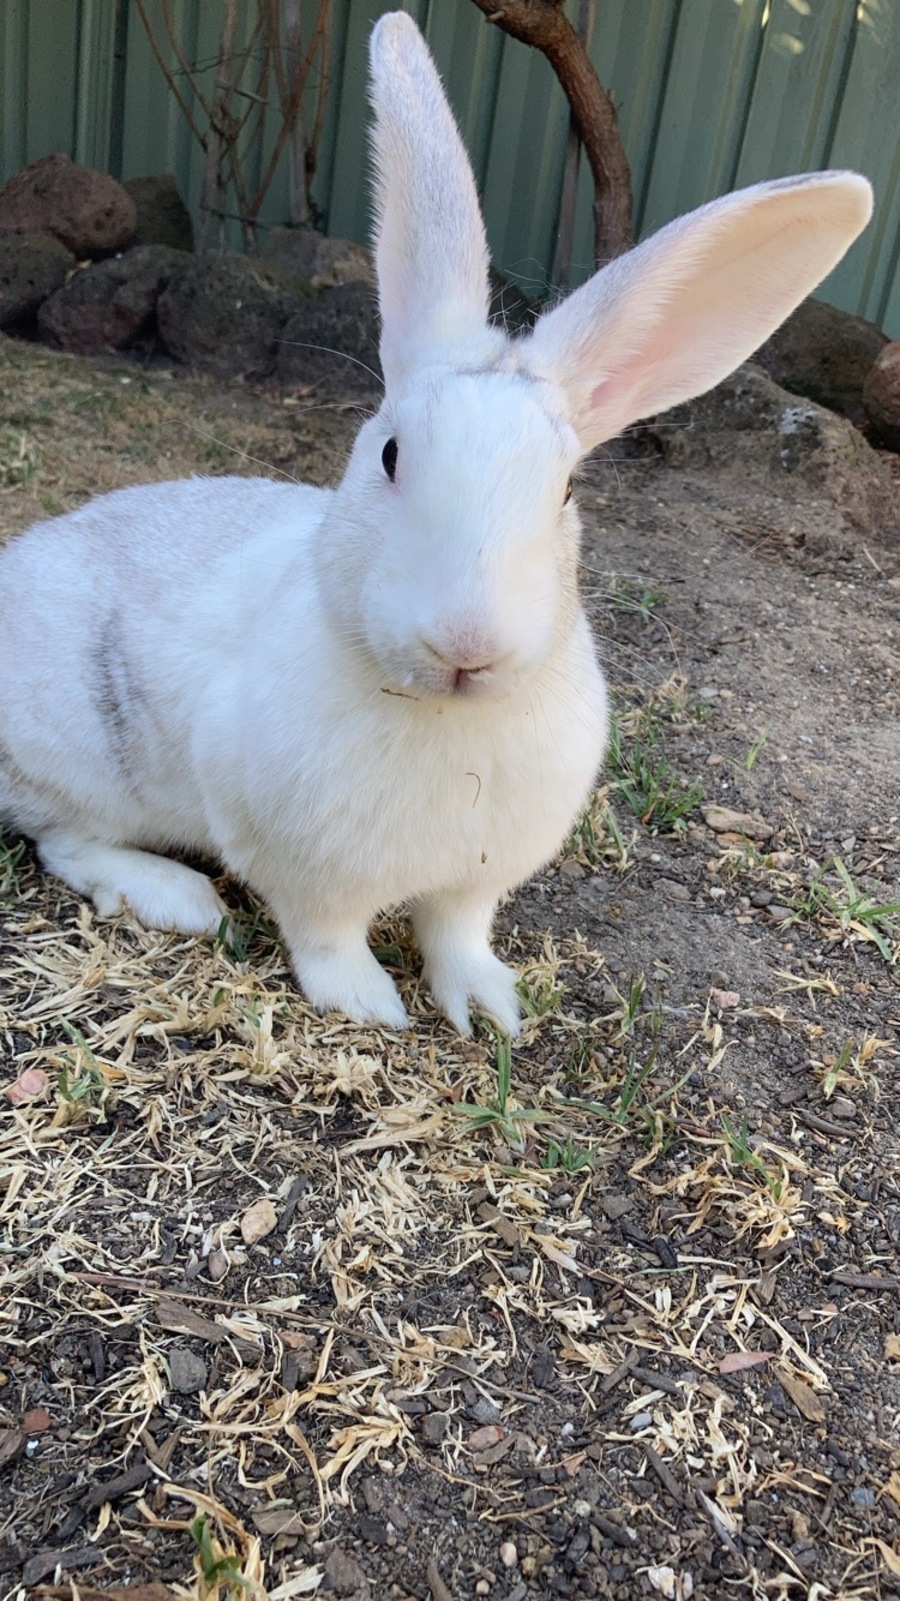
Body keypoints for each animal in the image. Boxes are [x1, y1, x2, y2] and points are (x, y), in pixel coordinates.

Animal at [0, 13, 872, 1037]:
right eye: (389, 455)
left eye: (566, 489)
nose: (468, 644)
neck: (447, 719)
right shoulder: (308, 878)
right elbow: (327, 938)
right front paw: (373, 1006)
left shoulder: (474, 880)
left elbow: (458, 934)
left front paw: (494, 1009)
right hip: (73, 760)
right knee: (64, 839)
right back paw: (178, 897)